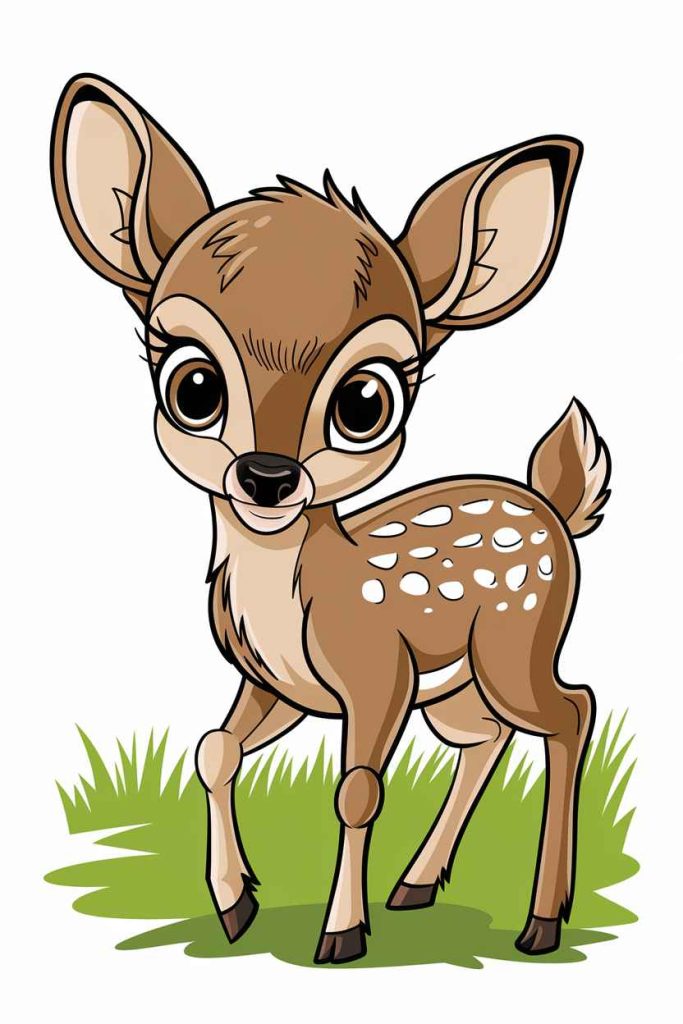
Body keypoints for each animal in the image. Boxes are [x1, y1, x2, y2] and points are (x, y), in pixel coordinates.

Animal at [51, 74, 610, 965]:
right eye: (193, 386)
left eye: (364, 403)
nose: (268, 477)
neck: (292, 596)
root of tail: (554, 505)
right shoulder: (275, 682)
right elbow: (212, 750)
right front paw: (234, 904)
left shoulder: (378, 673)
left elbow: (355, 791)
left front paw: (339, 933)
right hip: (456, 683)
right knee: (486, 737)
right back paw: (416, 885)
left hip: (514, 641)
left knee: (572, 709)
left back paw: (541, 921)